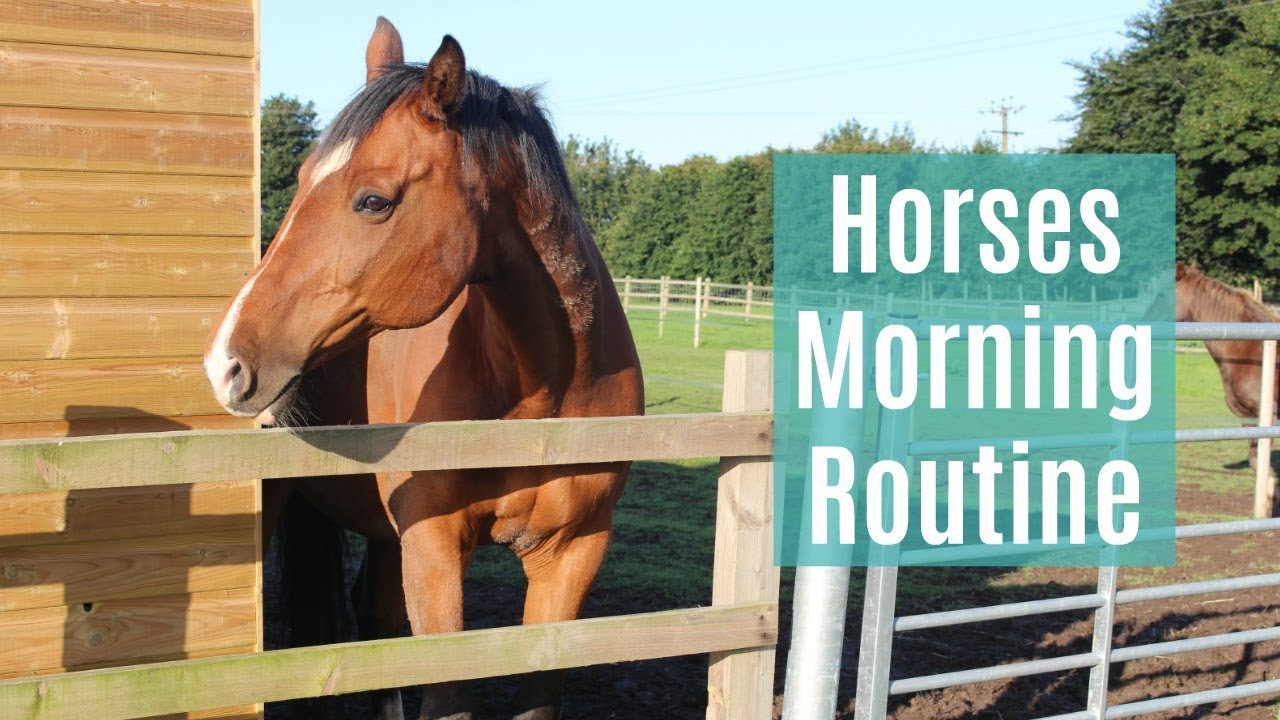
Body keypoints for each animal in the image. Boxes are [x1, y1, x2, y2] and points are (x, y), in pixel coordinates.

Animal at [203, 17, 644, 720]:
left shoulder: (572, 553)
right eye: (299, 181)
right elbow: (445, 694)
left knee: (377, 621)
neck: (541, 396)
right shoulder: (433, 547)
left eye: (373, 200)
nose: (226, 363)